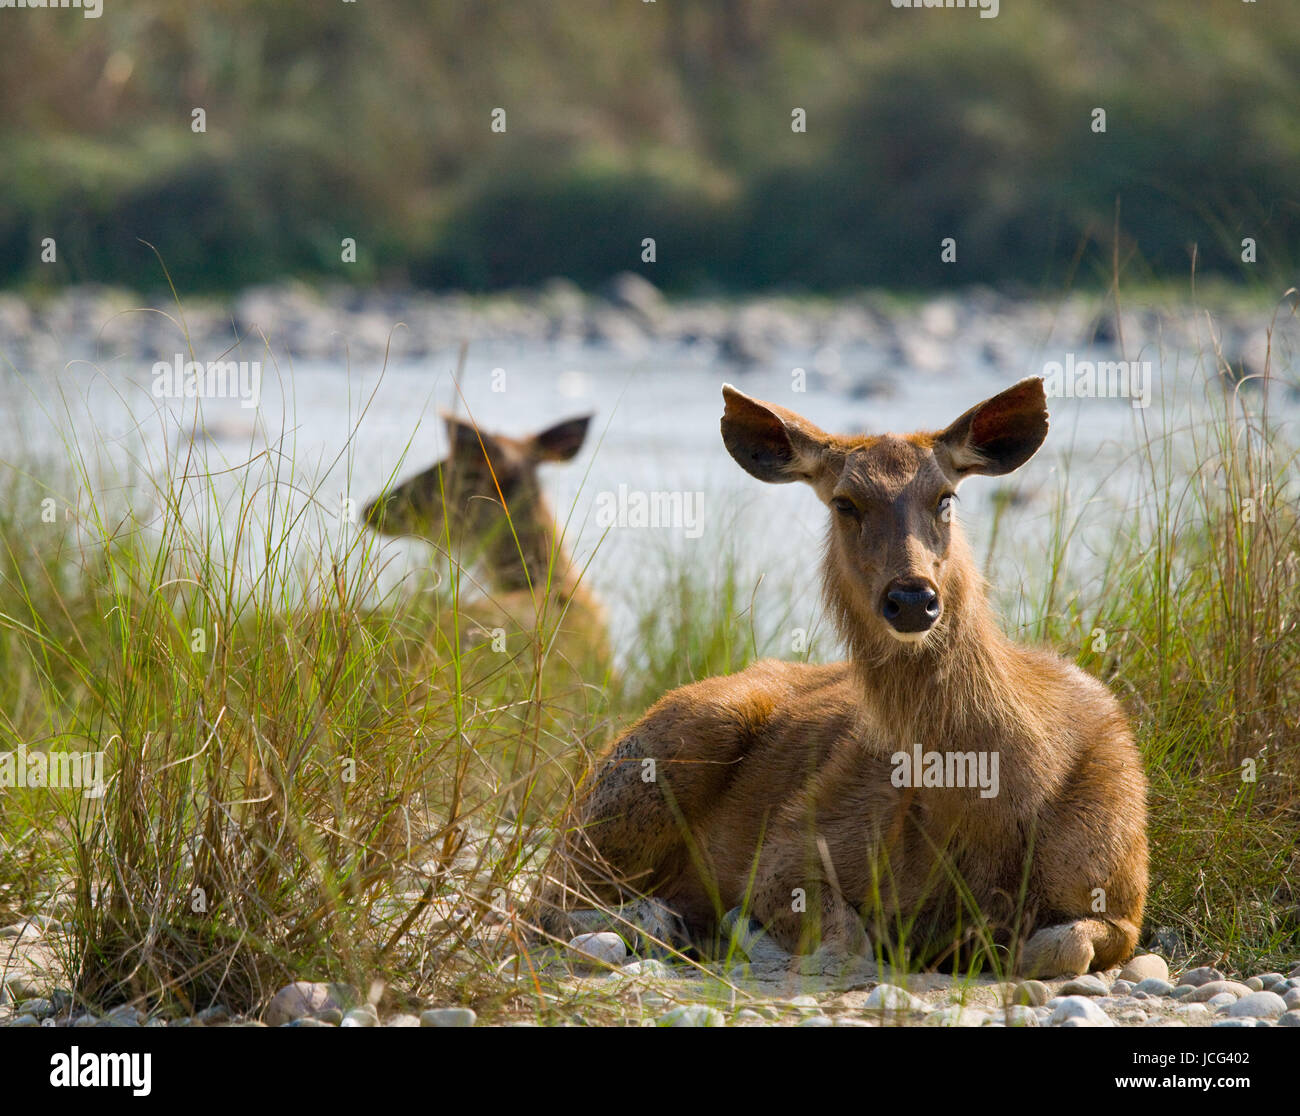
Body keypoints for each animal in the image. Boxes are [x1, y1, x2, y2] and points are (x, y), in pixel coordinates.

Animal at [531, 378, 1148, 978]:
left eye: (945, 498)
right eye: (845, 502)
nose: (911, 598)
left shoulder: (1121, 894)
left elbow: (1058, 948)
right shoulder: (793, 844)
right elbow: (848, 941)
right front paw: (746, 933)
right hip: (654, 765)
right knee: (547, 901)